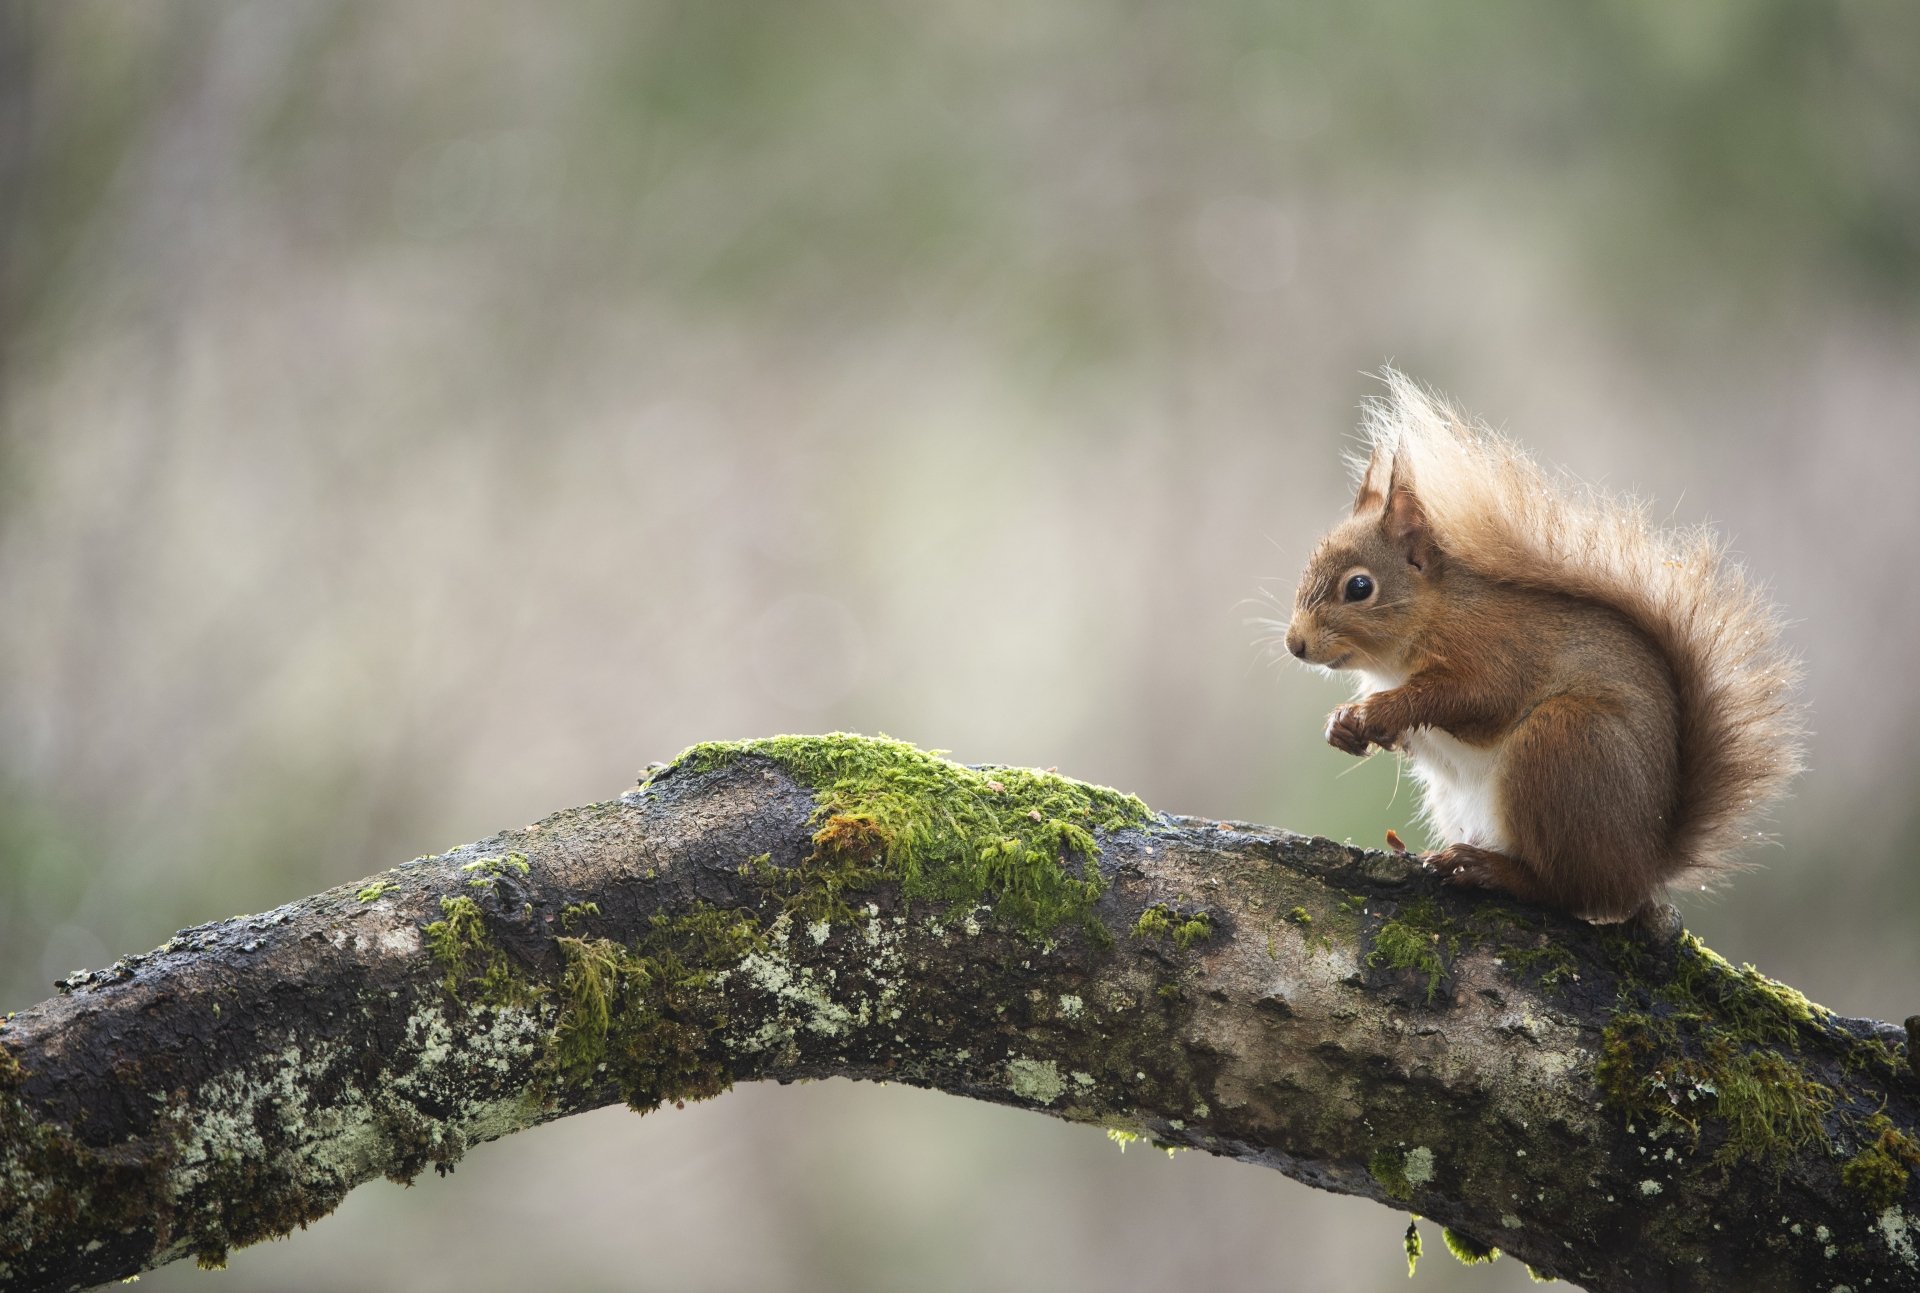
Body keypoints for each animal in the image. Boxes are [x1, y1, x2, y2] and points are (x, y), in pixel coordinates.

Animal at [1281, 370, 1804, 922]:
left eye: (1360, 587)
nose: (1295, 645)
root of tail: (1644, 868)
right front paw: (1344, 724)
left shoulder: (1494, 649)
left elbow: (1474, 697)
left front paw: (1378, 710)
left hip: (1562, 742)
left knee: (1568, 890)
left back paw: (1488, 870)